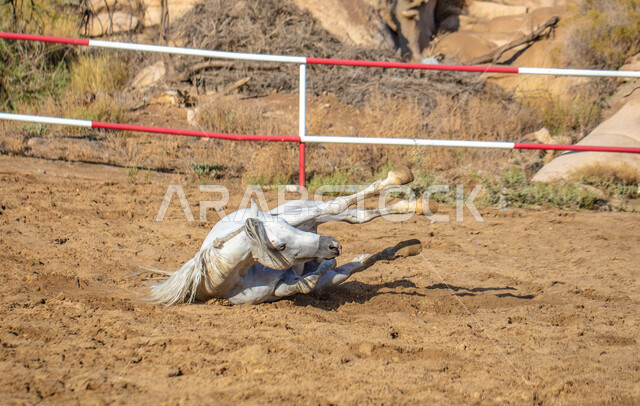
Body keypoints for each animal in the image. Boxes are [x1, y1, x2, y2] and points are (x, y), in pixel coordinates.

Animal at [148, 166, 424, 305]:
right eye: (280, 246)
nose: (333, 246)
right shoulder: (292, 285)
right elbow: (307, 283)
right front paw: (324, 265)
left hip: (301, 214)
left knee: (340, 207)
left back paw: (405, 186)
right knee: (357, 227)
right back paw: (408, 241)